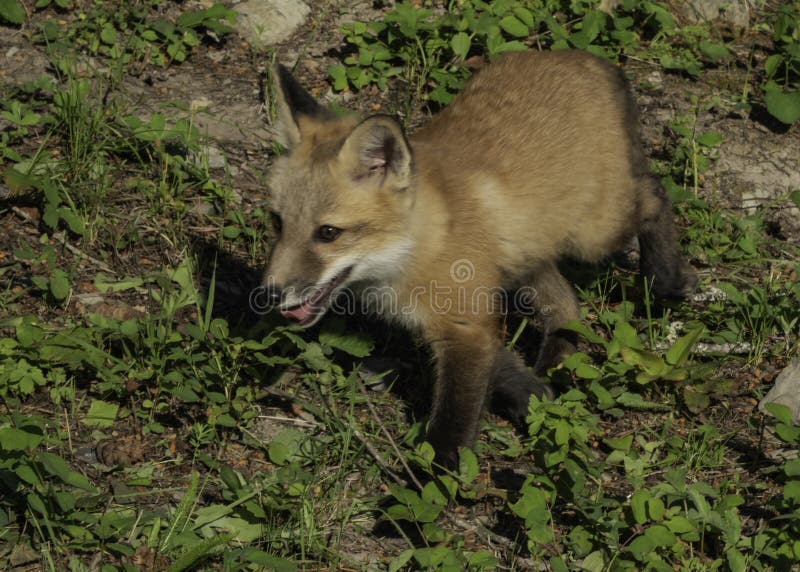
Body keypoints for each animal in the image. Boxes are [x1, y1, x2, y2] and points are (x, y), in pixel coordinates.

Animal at [261, 50, 695, 468]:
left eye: (328, 233)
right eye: (277, 222)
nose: (269, 295)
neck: (415, 249)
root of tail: (589, 59)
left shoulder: (464, 326)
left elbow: (453, 421)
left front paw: (428, 483)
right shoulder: (471, 315)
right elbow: (502, 366)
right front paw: (532, 394)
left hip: (594, 234)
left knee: (653, 191)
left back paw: (665, 279)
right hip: (527, 253)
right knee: (567, 306)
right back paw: (558, 362)